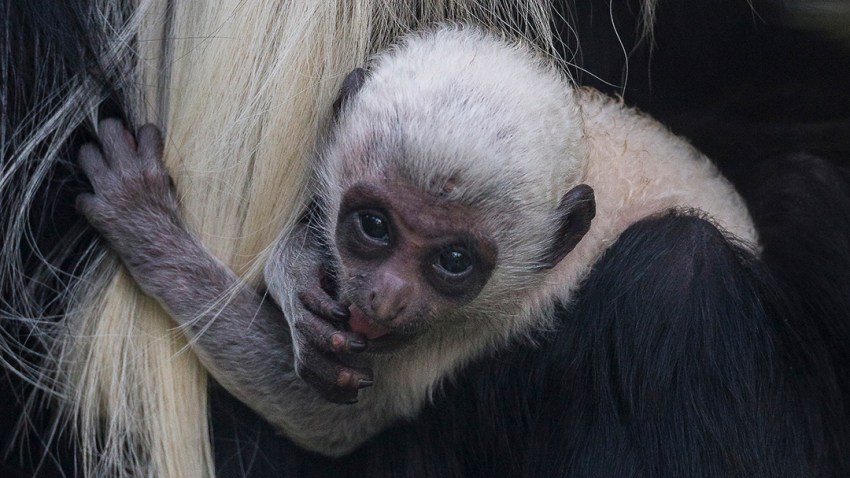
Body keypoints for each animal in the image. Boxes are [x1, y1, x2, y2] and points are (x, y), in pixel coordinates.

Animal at [73, 25, 765, 460]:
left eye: (453, 262)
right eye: (374, 226)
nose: (384, 299)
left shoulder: (478, 326)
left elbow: (335, 424)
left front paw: (145, 224)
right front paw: (298, 275)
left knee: (682, 260)